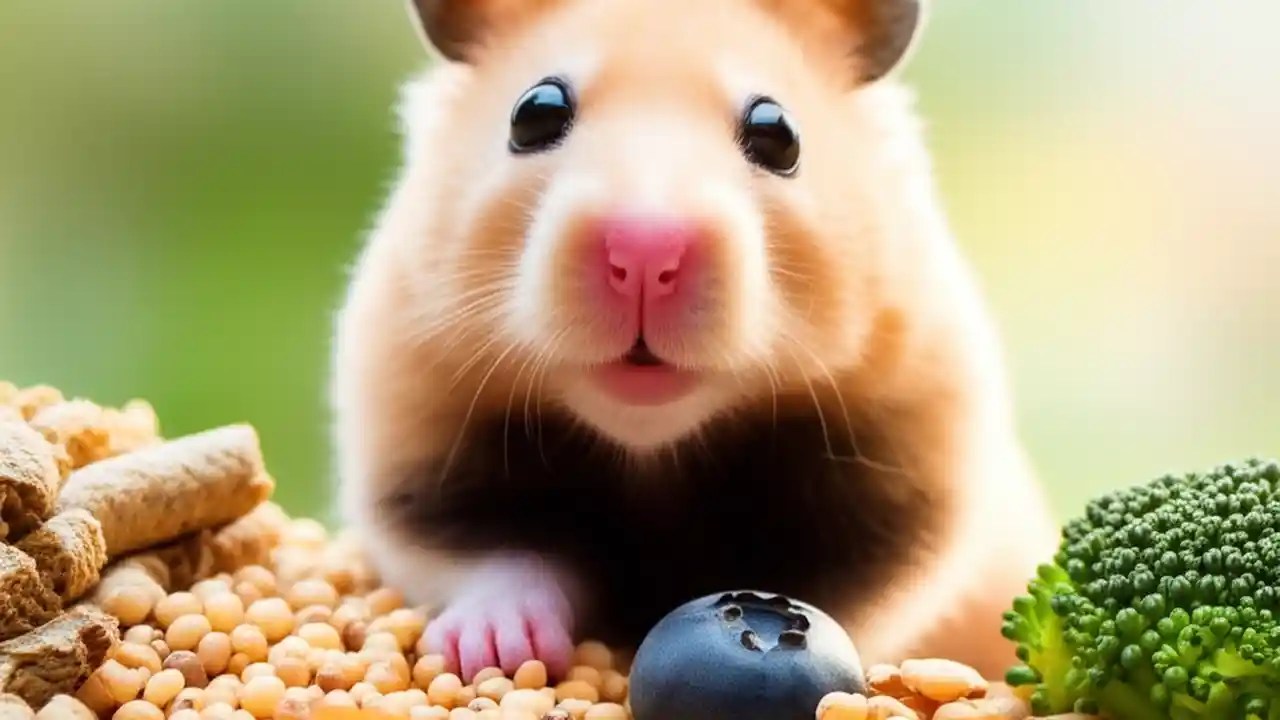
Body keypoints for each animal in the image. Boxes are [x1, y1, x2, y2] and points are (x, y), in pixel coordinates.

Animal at [330, 0, 1059, 682]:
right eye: (533, 114)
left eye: (777, 133)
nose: (644, 249)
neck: (653, 447)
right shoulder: (417, 453)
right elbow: (500, 558)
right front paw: (495, 652)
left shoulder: (906, 480)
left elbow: (849, 596)